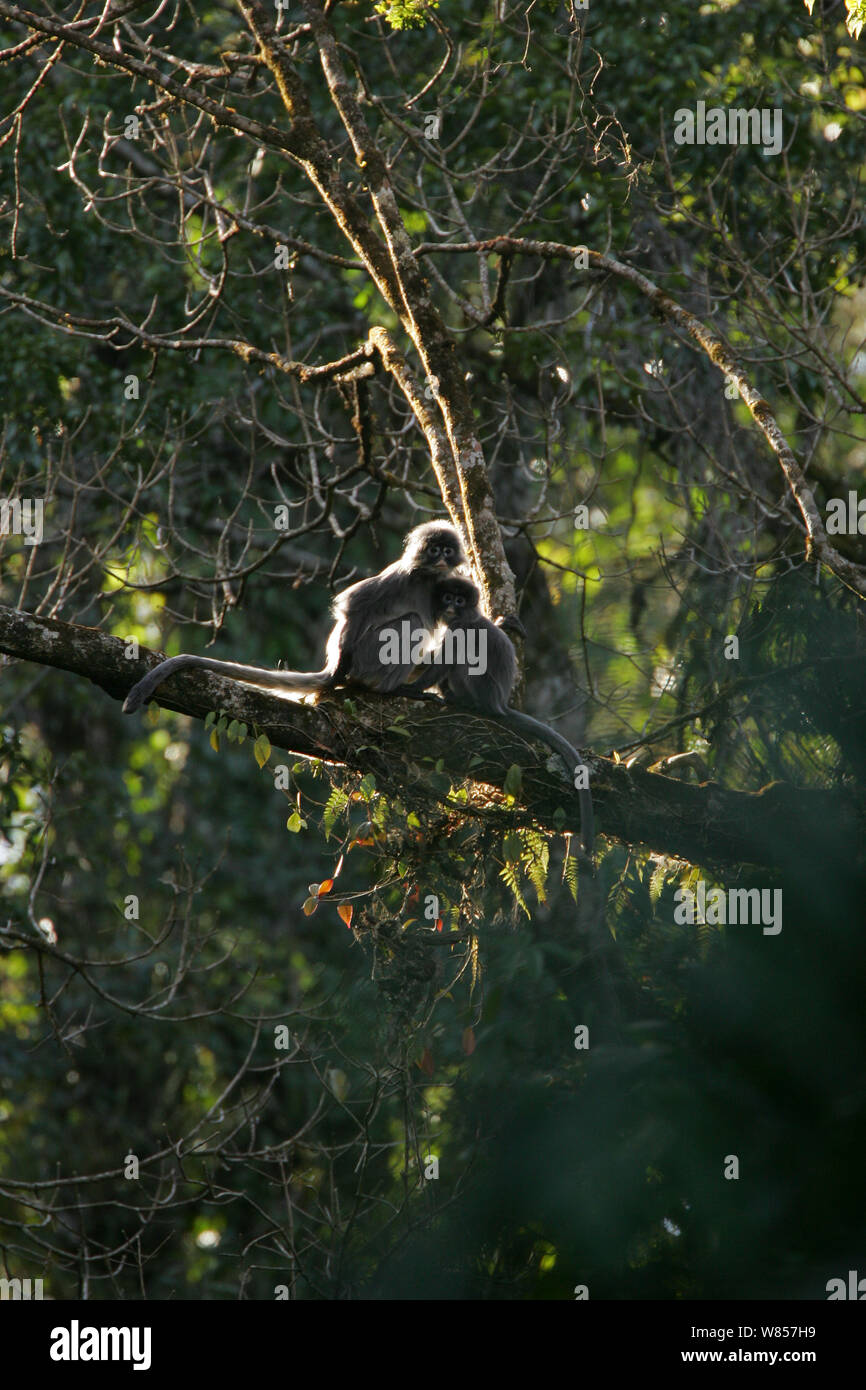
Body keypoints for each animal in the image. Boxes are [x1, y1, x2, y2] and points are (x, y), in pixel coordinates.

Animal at [122, 521, 465, 714]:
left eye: (447, 551)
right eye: (434, 550)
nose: (441, 557)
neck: (427, 580)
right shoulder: (402, 576)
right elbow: (352, 603)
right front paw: (338, 671)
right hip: (369, 657)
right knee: (410, 623)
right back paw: (381, 686)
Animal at [410, 577, 594, 856]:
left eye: (459, 600)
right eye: (448, 598)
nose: (452, 606)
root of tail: (499, 704)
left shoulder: (460, 630)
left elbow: (444, 662)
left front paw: (409, 689)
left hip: (481, 687)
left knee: (461, 662)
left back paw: (460, 701)